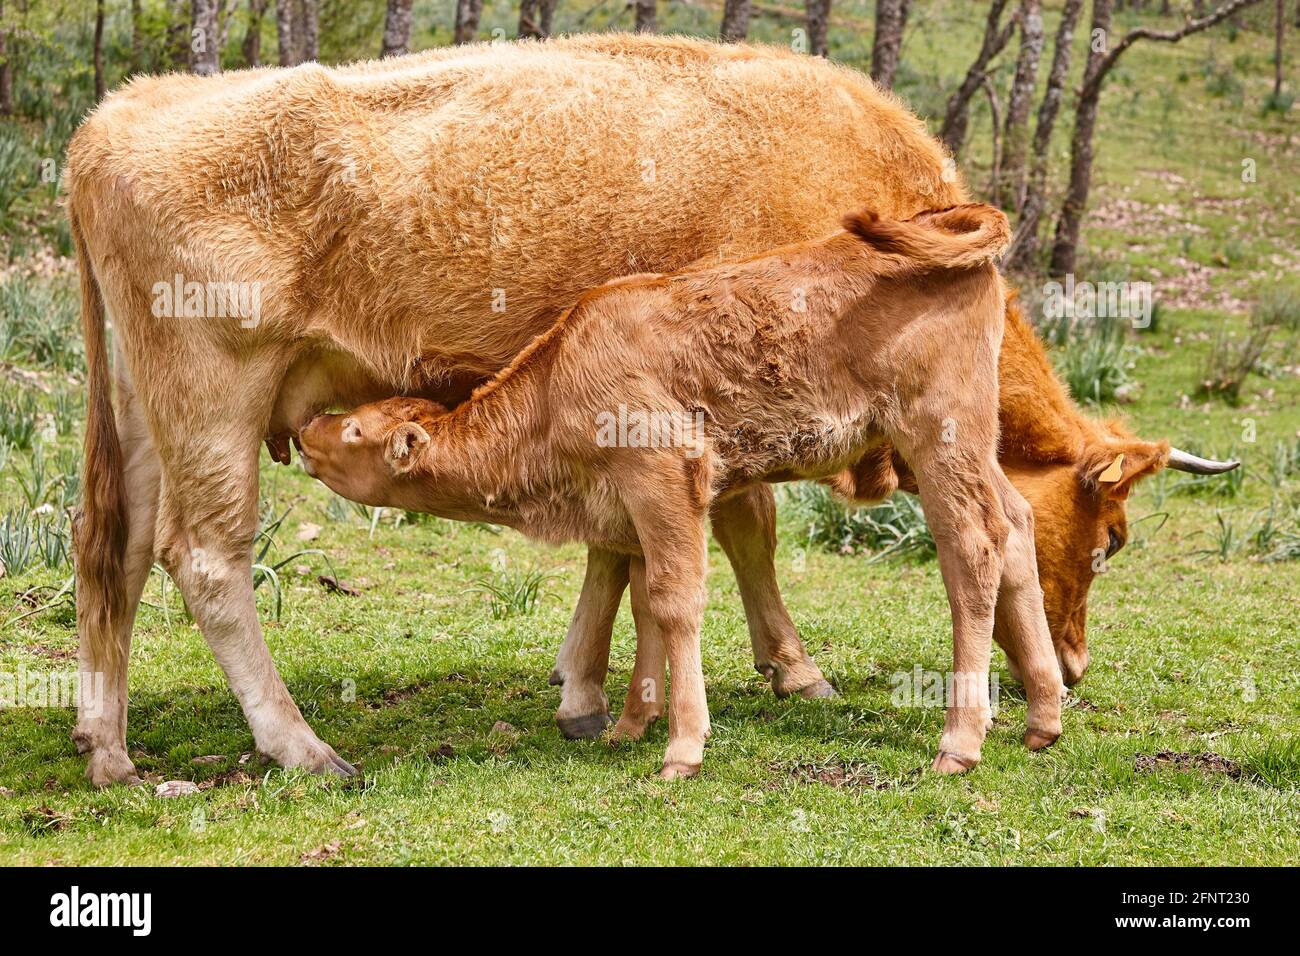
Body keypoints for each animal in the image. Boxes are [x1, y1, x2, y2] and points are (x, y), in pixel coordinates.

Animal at [296, 204, 1058, 776]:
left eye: (355, 429)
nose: (305, 428)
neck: (559, 380)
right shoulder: (632, 509)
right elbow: (643, 605)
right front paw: (631, 724)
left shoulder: (663, 475)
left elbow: (675, 600)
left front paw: (682, 748)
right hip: (972, 448)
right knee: (1017, 524)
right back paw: (1043, 717)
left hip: (938, 440)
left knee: (972, 549)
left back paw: (960, 741)